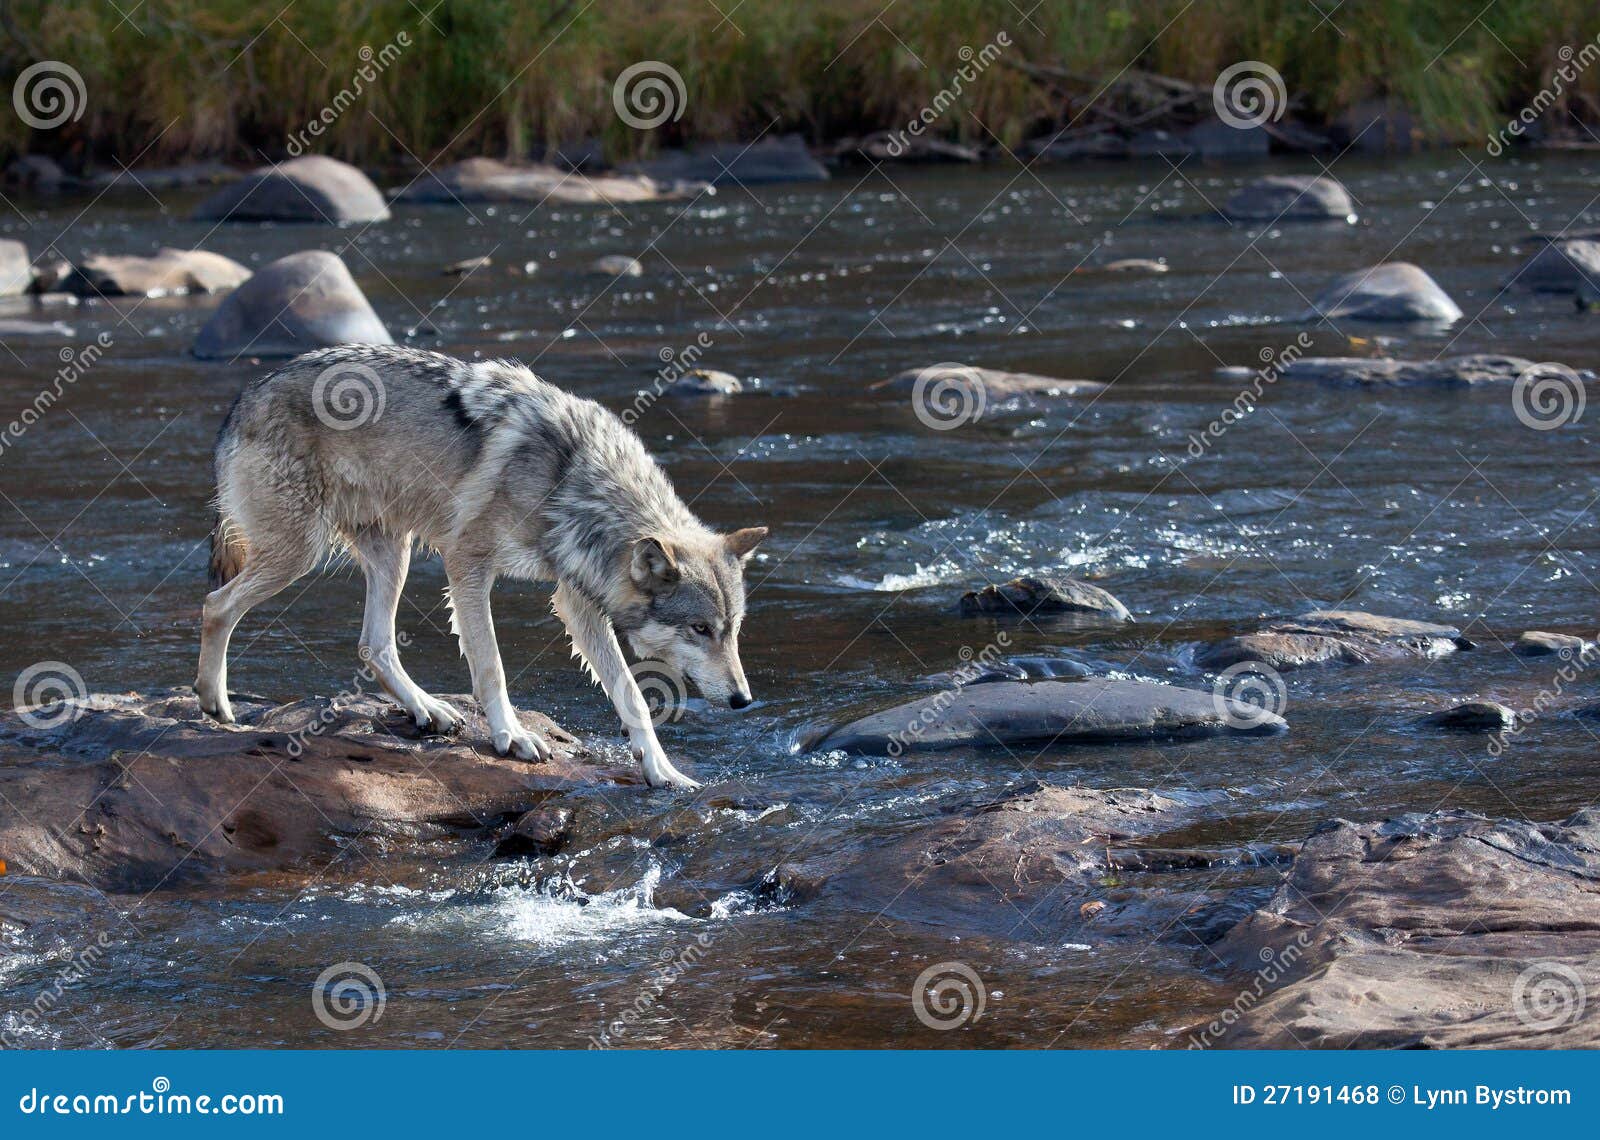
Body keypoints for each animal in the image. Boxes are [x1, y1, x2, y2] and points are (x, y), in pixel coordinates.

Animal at [196, 344, 766, 789]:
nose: (743, 700)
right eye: (700, 629)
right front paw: (511, 736)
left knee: (373, 644)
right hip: (300, 554)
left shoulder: (577, 601)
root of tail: (243, 399)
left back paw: (427, 709)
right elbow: (491, 665)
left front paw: (661, 770)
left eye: (734, 629)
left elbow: (633, 698)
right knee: (214, 605)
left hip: (392, 555)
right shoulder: (467, 563)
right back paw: (214, 704)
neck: (572, 480)